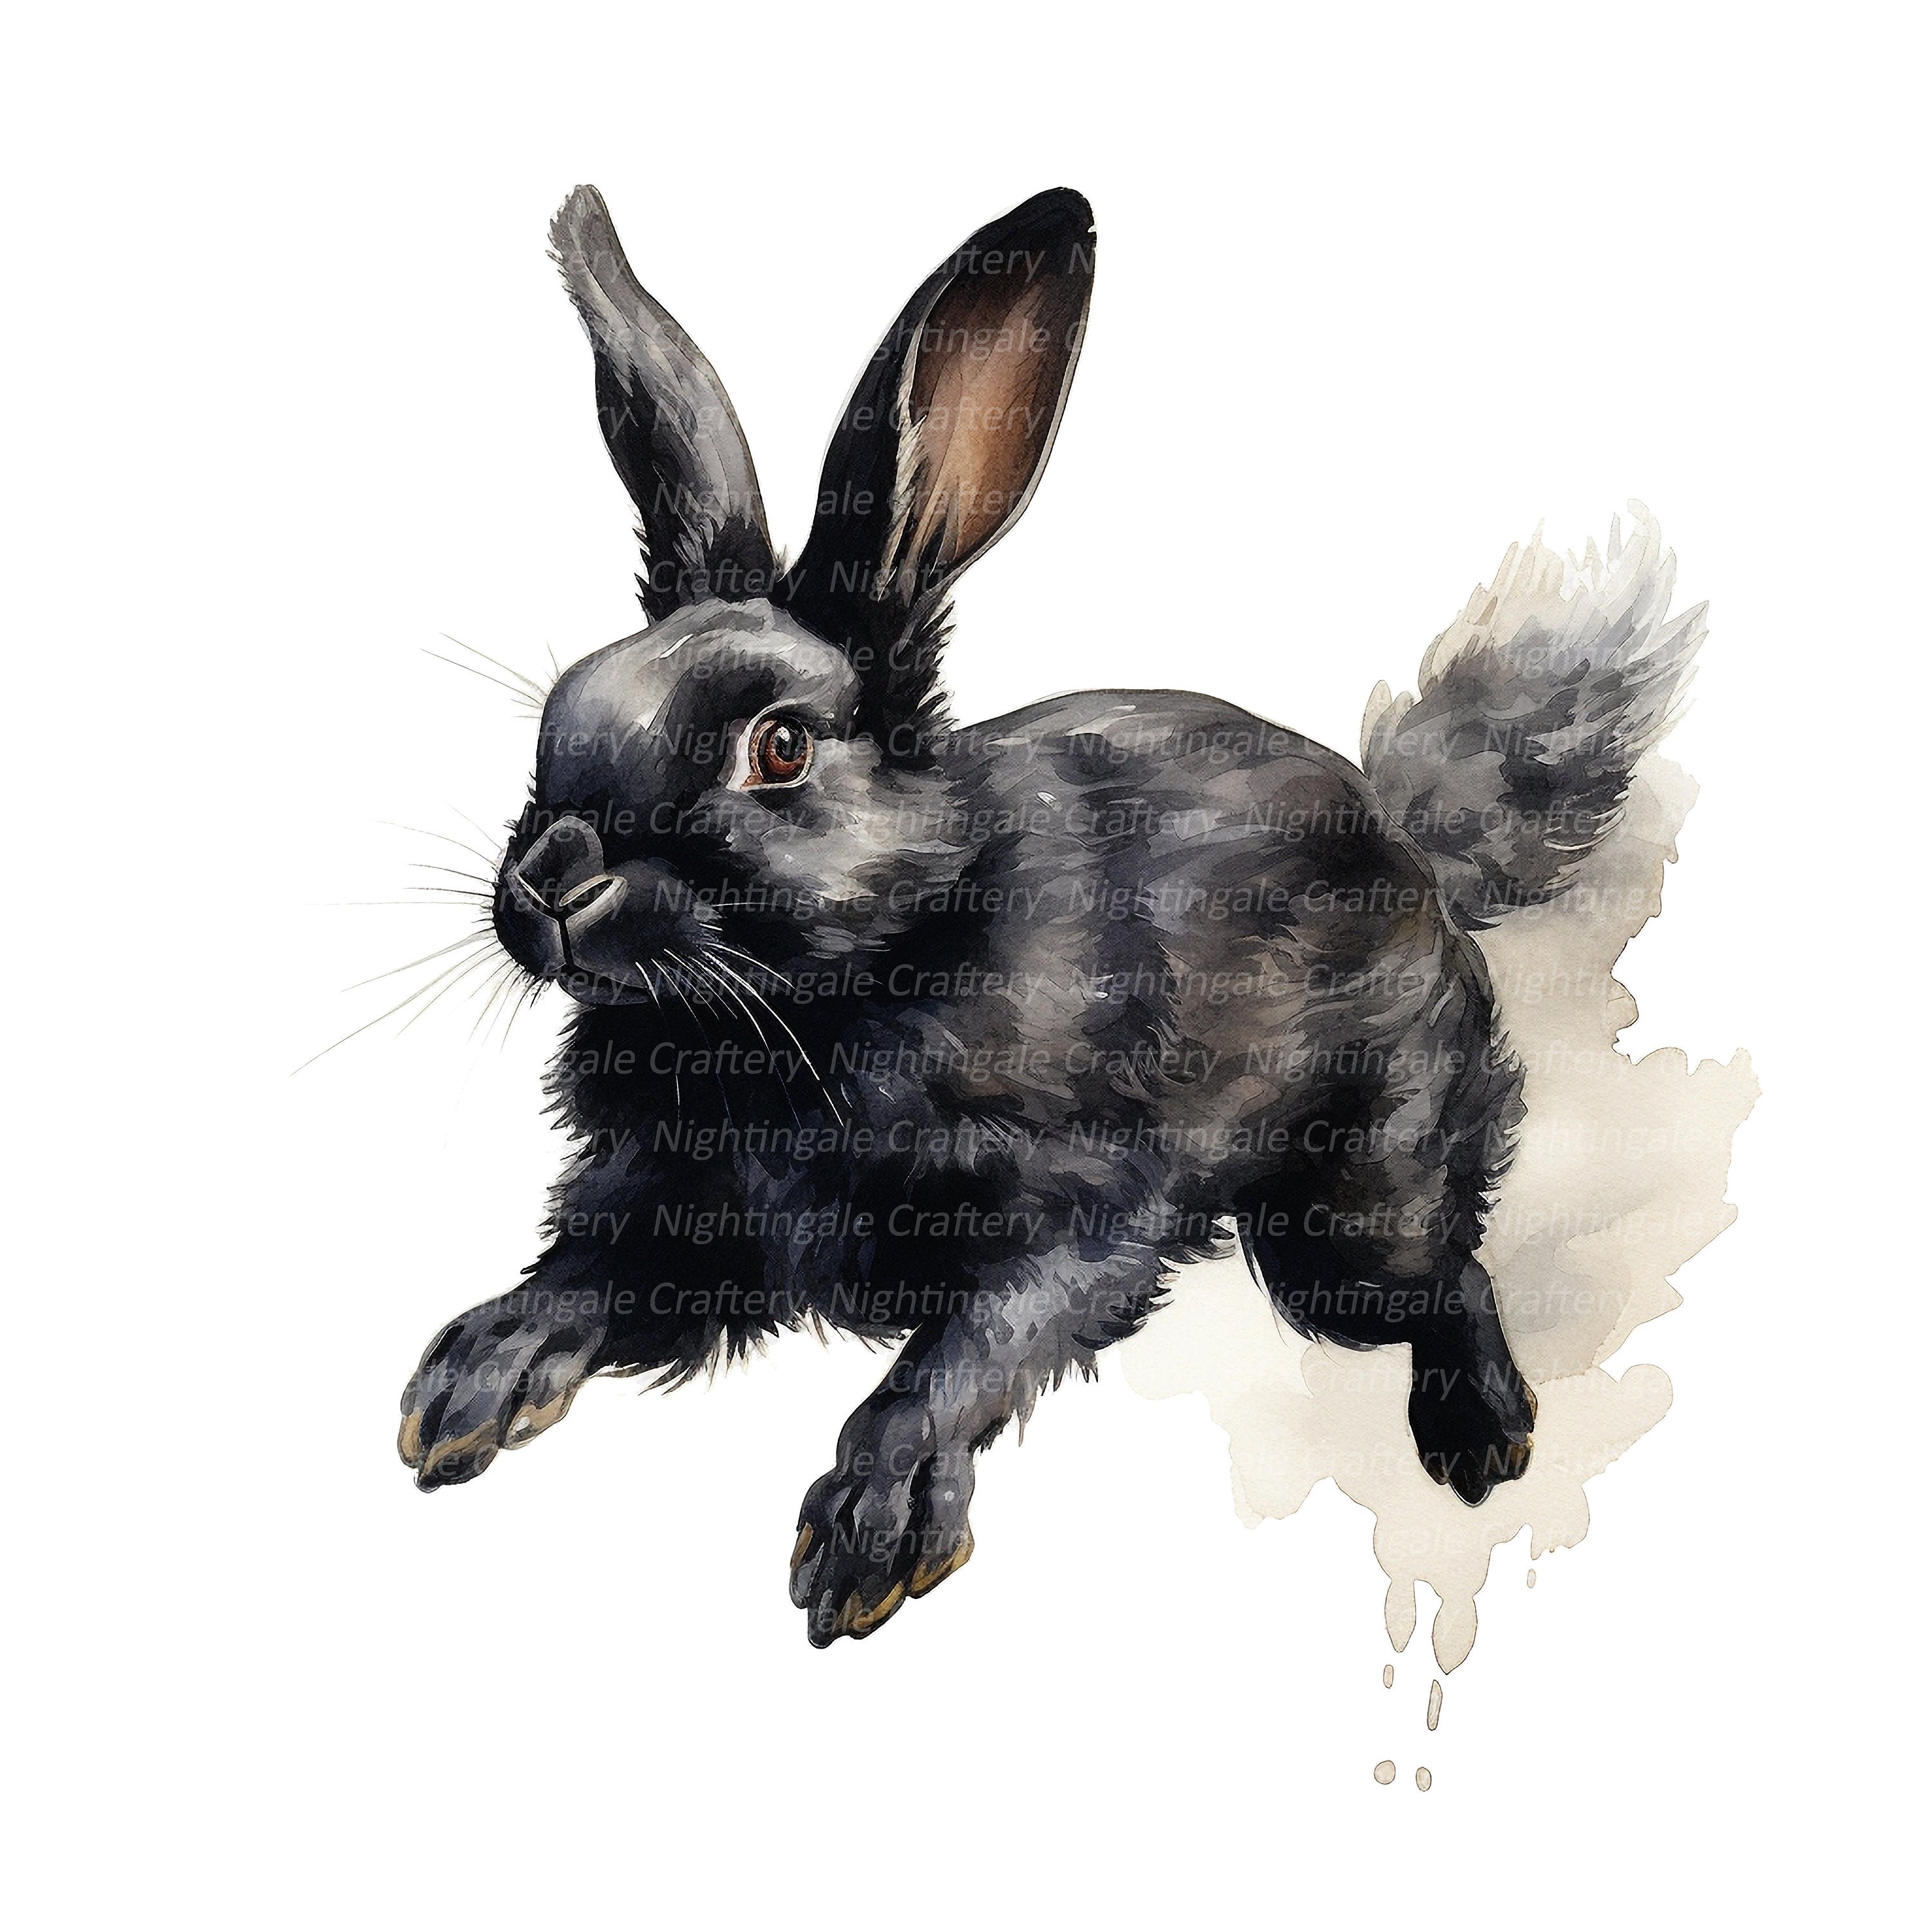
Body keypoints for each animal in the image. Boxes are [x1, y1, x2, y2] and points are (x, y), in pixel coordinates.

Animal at [398, 183, 1703, 1646]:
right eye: (563, 707)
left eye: (780, 749)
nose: (550, 883)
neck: (819, 995)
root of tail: (1406, 835)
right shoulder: (682, 1217)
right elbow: (585, 1280)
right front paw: (462, 1387)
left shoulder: (1083, 1205)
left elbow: (966, 1353)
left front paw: (873, 1533)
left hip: (1354, 1216)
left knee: (1448, 1270)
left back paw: (1477, 1433)